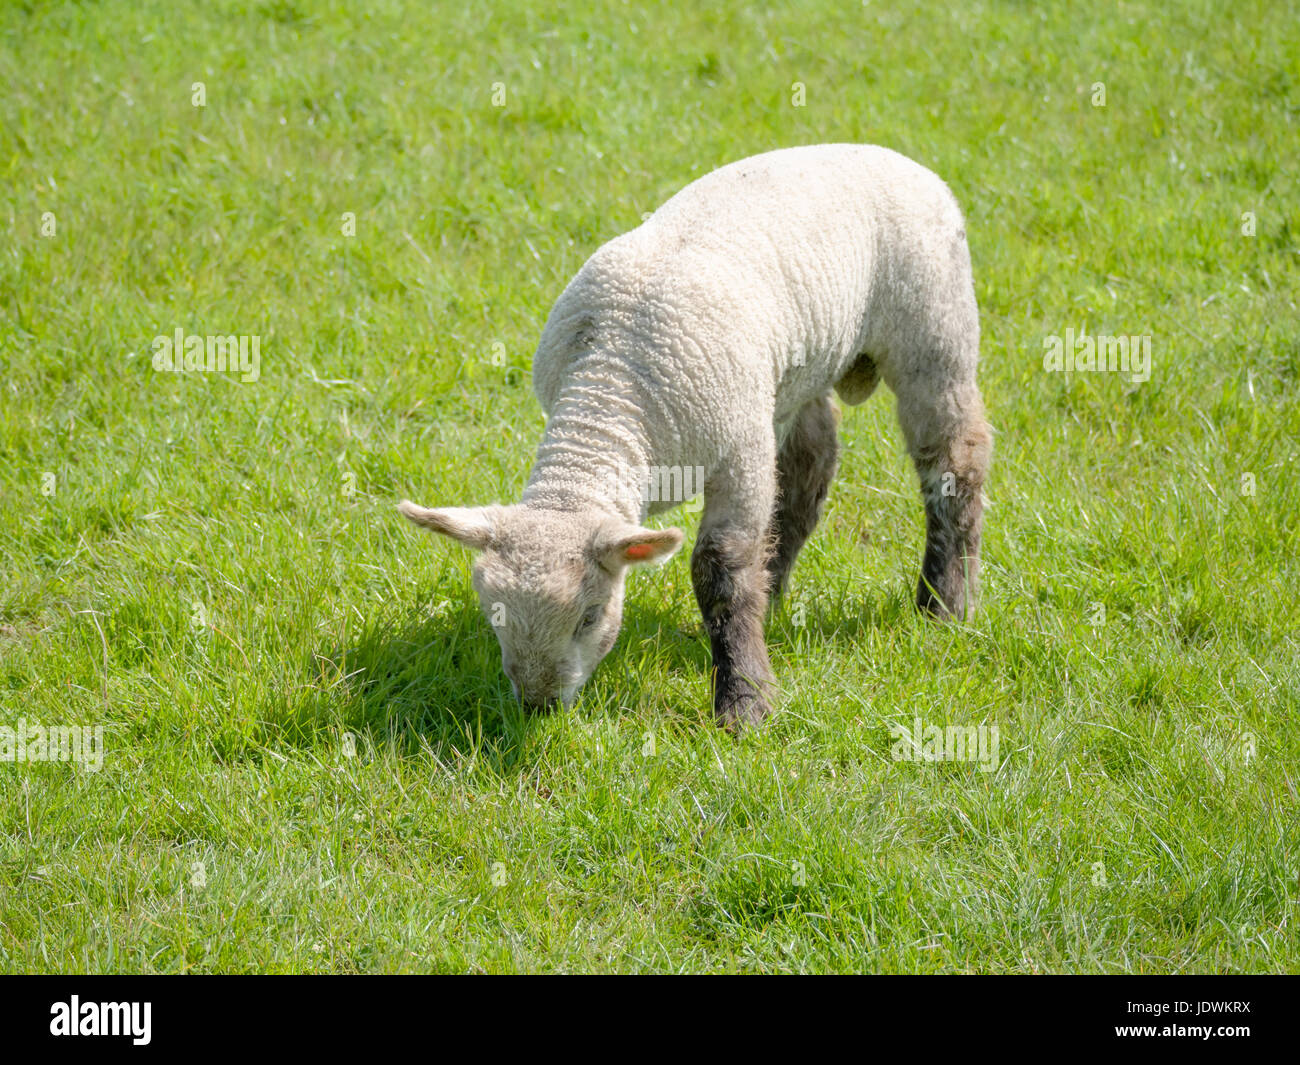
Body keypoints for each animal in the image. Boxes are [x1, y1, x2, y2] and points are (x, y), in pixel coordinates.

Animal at [401, 143, 991, 730]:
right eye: (491, 614)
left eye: (590, 616)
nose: (539, 704)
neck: (610, 389)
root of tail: (892, 154)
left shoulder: (740, 452)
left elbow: (720, 567)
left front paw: (744, 701)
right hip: (798, 372)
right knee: (809, 470)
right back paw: (776, 593)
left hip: (934, 329)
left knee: (955, 460)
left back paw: (944, 604)